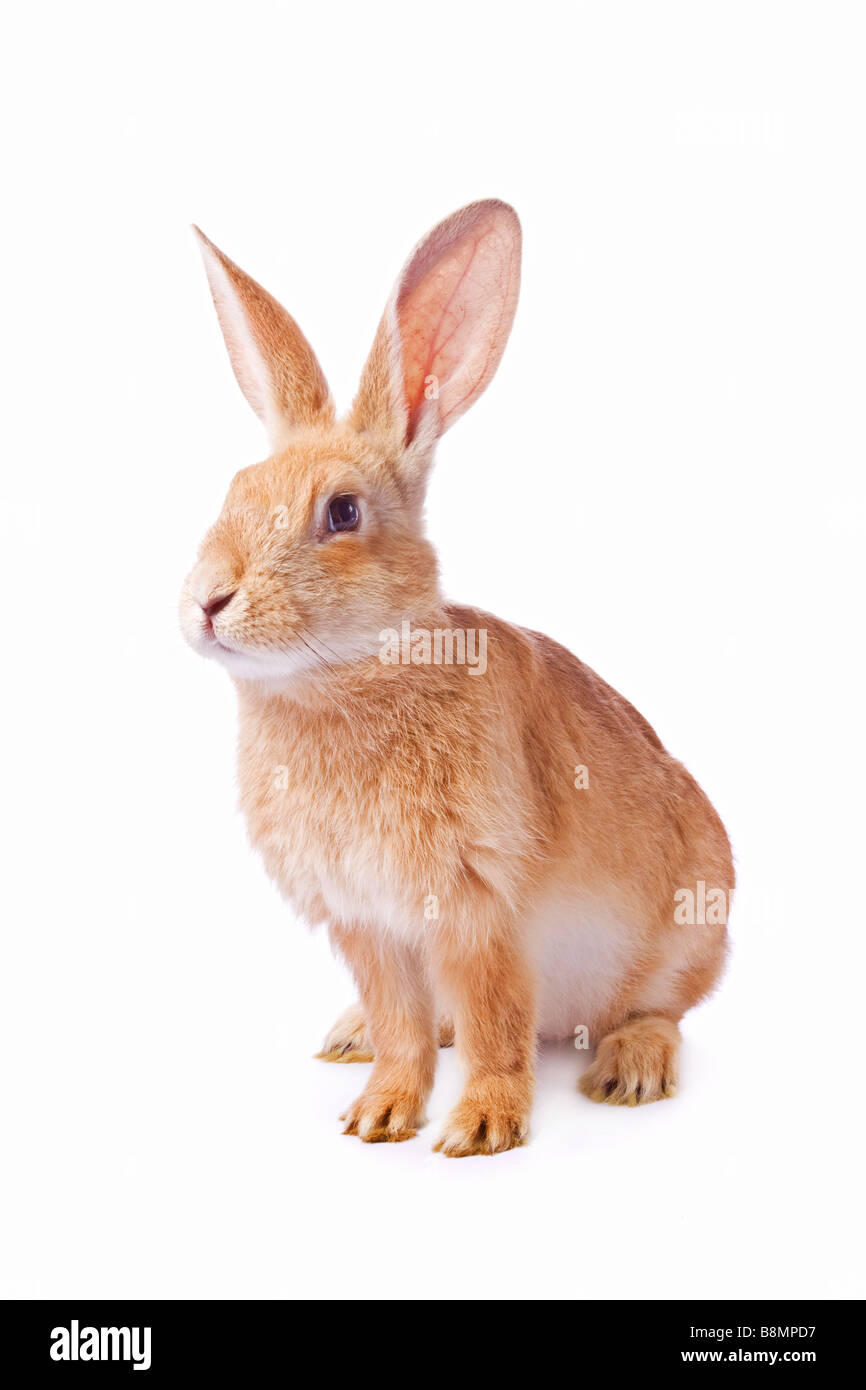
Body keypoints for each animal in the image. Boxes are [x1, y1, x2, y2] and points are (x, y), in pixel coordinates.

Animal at [180, 200, 734, 1156]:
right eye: (235, 489)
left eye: (343, 512)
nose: (208, 601)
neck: (354, 677)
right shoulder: (366, 921)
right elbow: (403, 1024)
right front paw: (379, 1113)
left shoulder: (478, 908)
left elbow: (493, 1022)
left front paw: (479, 1127)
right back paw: (350, 1038)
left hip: (683, 930)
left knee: (660, 1008)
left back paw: (629, 1068)